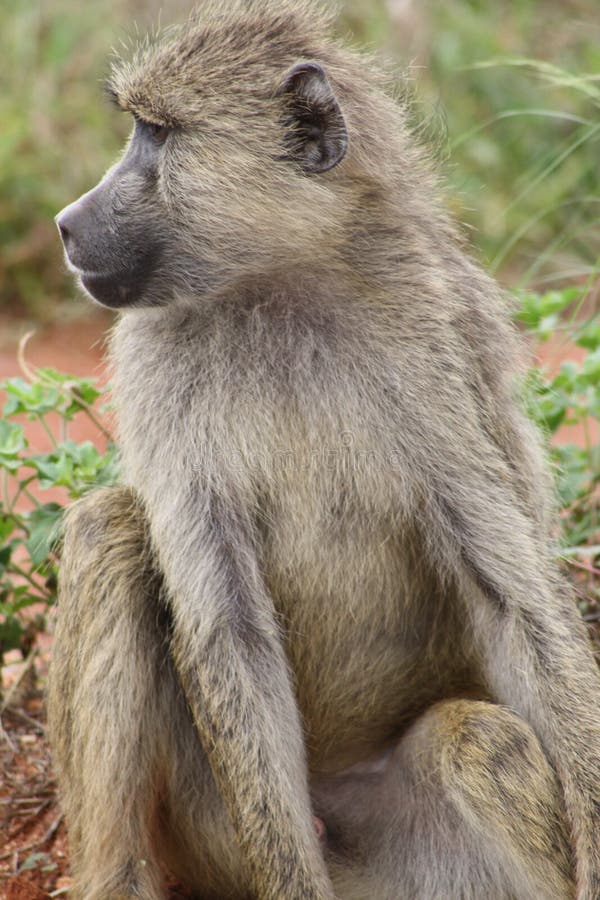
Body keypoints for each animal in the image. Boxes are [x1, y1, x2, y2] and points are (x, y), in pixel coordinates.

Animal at [47, 1, 600, 898]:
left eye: (157, 136)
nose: (67, 224)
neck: (281, 285)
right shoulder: (151, 354)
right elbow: (227, 622)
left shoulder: (437, 335)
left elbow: (510, 595)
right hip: (208, 831)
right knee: (109, 528)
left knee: (484, 742)